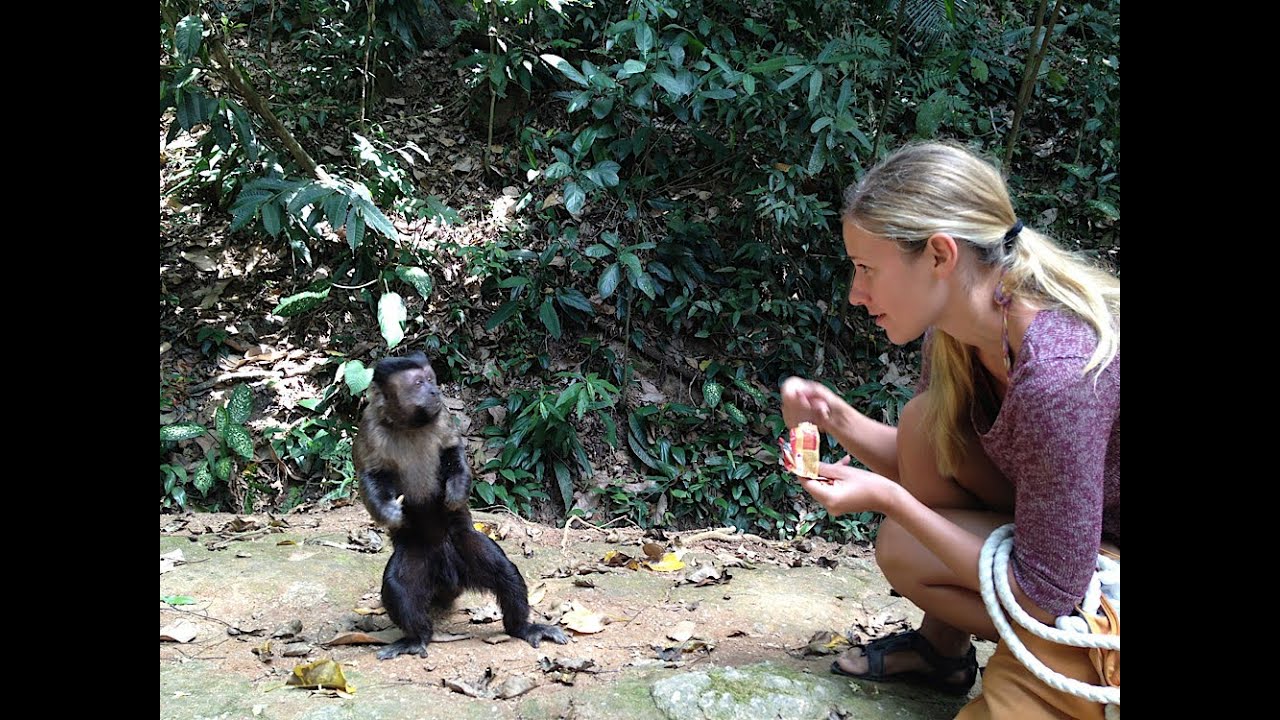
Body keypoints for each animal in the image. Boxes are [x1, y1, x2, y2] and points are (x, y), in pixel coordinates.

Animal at [354, 351, 568, 659]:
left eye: (431, 379)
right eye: (418, 383)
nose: (434, 391)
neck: (408, 424)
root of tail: (448, 575)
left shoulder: (442, 415)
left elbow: (453, 452)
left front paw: (455, 492)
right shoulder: (369, 426)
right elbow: (370, 475)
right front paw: (390, 512)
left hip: (461, 543)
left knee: (504, 572)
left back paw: (522, 628)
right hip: (418, 554)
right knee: (398, 587)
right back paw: (416, 638)